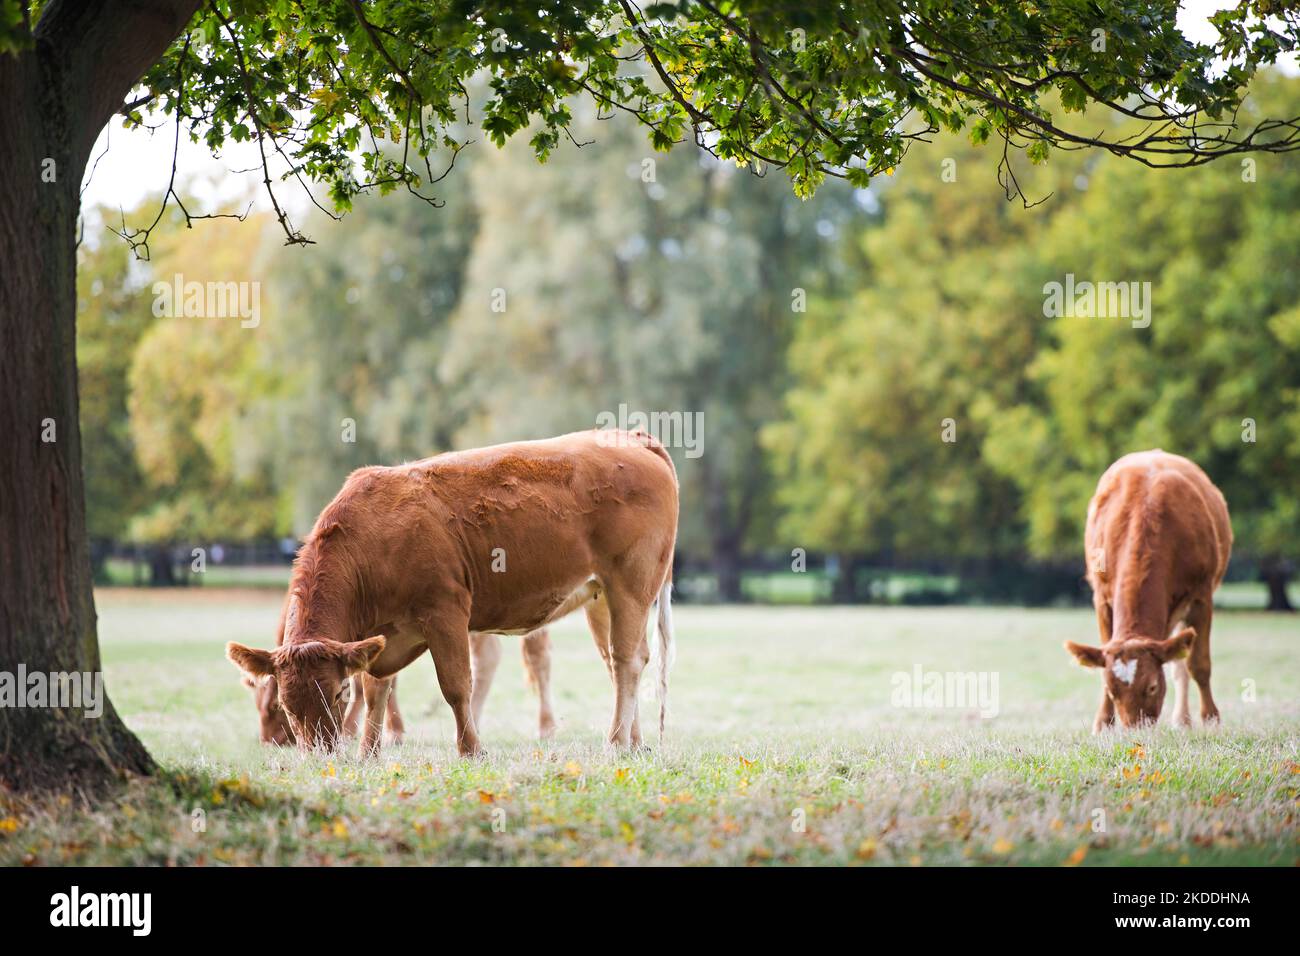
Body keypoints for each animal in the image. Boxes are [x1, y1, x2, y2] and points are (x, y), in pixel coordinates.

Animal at [227, 429, 678, 756]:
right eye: (286, 705)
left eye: (338, 692)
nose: (319, 753)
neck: (371, 541)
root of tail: (630, 436)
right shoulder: (378, 636)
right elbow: (376, 691)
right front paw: (368, 753)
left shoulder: (445, 611)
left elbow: (457, 685)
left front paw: (470, 749)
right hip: (600, 596)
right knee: (618, 663)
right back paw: (633, 740)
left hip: (631, 585)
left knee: (627, 660)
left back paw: (615, 740)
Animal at [1065, 450, 1232, 731]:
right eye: (1112, 691)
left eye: (1152, 687)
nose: (1136, 729)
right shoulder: (1101, 597)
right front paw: (1103, 723)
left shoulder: (1201, 596)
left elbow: (1199, 664)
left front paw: (1211, 719)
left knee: (1181, 665)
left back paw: (1183, 720)